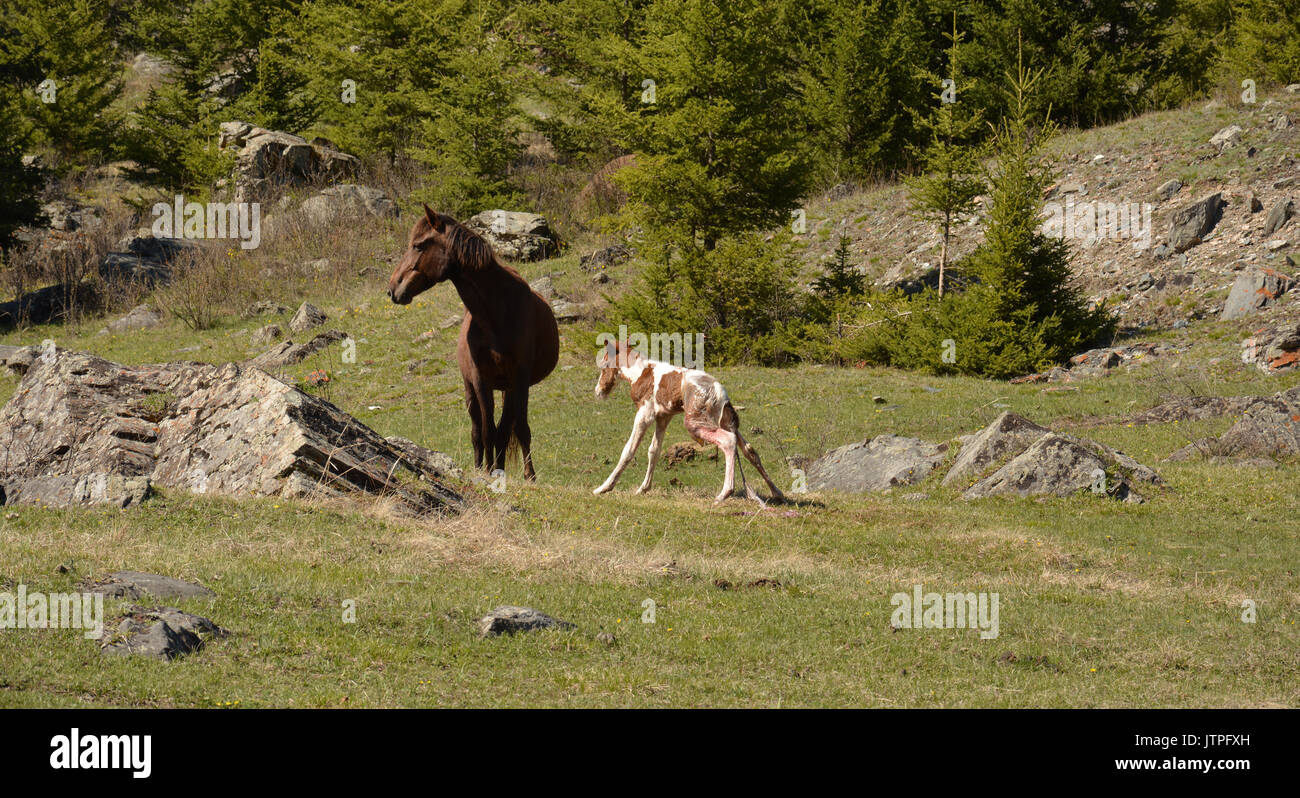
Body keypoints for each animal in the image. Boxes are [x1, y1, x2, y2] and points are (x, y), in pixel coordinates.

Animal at [387, 204, 559, 480]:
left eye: (418, 246)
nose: (393, 289)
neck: (497, 311)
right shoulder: (480, 379)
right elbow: (487, 431)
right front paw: (487, 472)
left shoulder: (520, 378)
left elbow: (520, 429)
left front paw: (529, 476)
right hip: (471, 391)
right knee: (479, 432)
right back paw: (484, 467)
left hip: (510, 388)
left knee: (504, 430)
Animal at [592, 339, 784, 504]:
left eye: (604, 366)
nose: (598, 391)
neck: (641, 374)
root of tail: (721, 393)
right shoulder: (663, 416)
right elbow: (654, 451)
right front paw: (643, 489)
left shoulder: (644, 414)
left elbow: (628, 450)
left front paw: (603, 488)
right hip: (724, 421)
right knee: (748, 449)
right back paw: (777, 493)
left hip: (695, 423)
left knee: (728, 441)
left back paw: (724, 494)